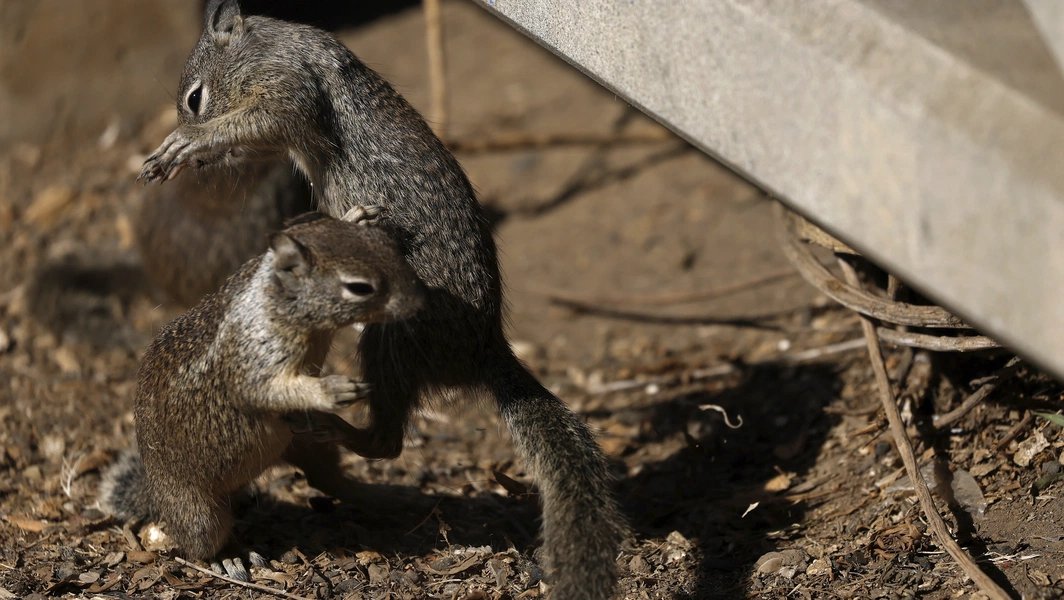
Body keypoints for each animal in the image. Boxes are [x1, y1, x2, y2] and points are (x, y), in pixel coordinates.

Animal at [100, 209, 425, 580]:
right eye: (359, 287)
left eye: (388, 246)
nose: (420, 301)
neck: (275, 296)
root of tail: (153, 490)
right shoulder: (253, 360)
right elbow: (264, 391)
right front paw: (332, 389)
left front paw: (354, 215)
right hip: (198, 512)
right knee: (203, 542)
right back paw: (228, 556)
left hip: (305, 442)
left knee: (326, 478)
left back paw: (386, 496)